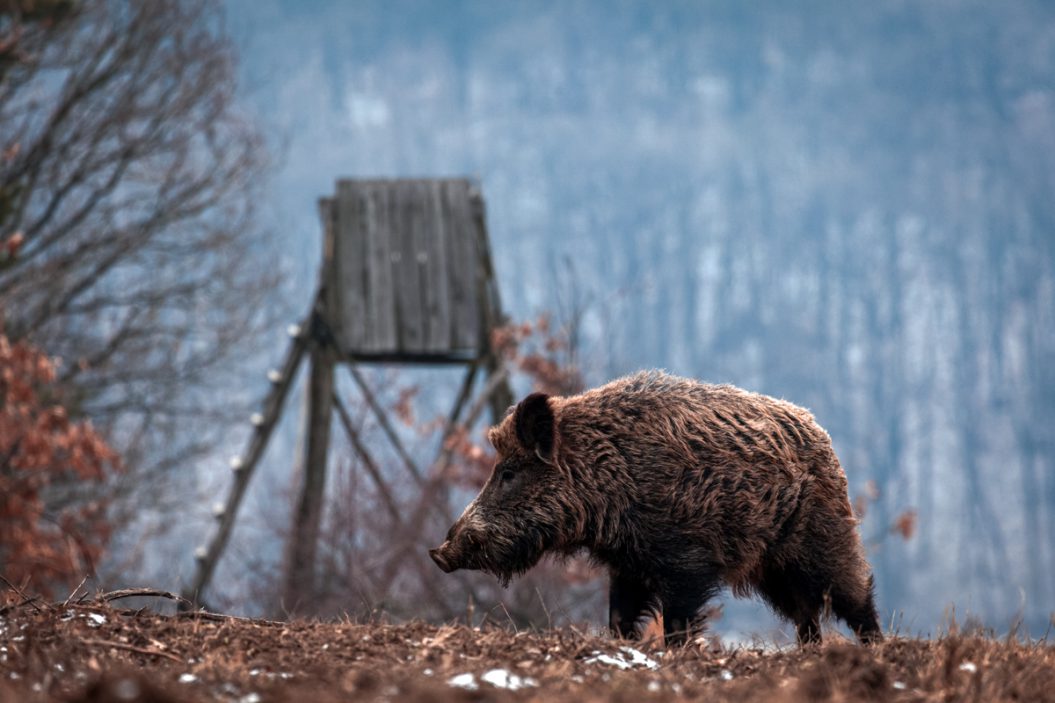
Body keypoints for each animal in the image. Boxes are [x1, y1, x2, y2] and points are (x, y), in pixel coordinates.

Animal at [429, 370, 882, 645]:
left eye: (509, 473)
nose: (439, 553)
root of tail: (820, 433)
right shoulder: (627, 564)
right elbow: (619, 616)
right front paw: (625, 648)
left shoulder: (687, 562)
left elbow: (677, 622)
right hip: (773, 568)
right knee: (807, 613)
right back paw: (812, 652)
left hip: (824, 537)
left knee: (855, 593)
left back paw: (875, 649)